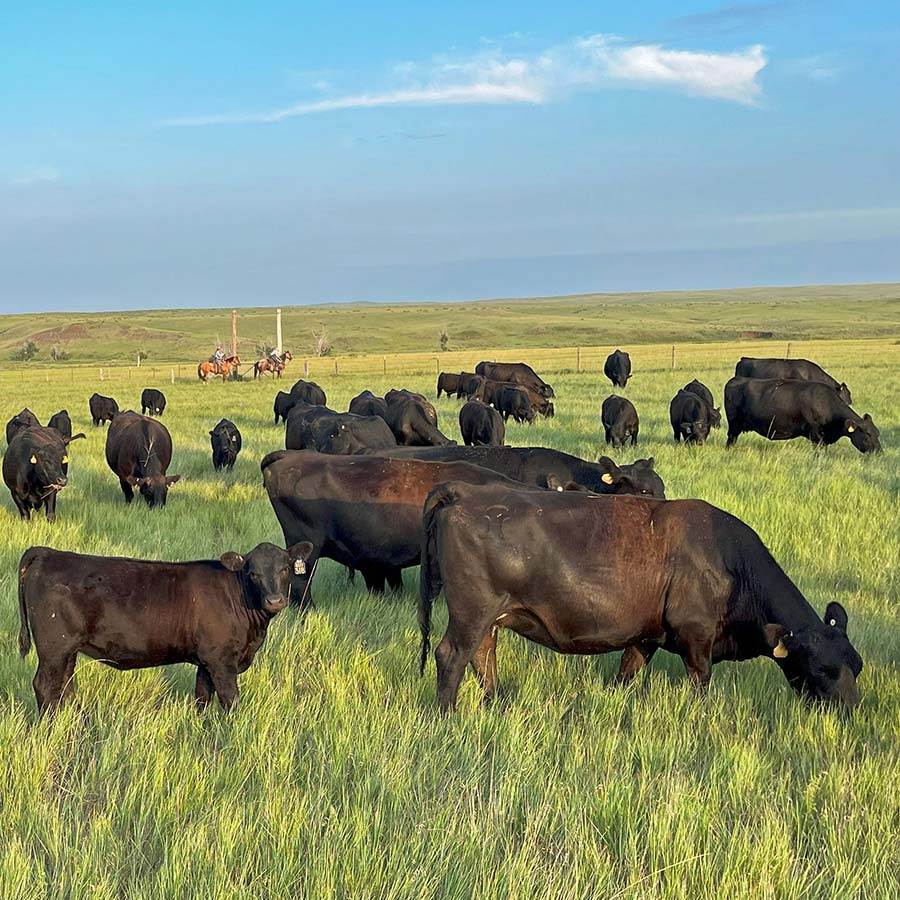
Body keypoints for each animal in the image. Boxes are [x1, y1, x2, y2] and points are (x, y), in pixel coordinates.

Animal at [17, 541, 312, 715]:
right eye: (253, 573)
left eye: (285, 569)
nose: (275, 600)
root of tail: (48, 553)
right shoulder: (222, 661)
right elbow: (231, 700)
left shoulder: (207, 661)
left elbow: (202, 698)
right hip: (54, 647)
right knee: (45, 685)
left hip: (68, 649)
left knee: (65, 684)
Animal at [418, 482, 863, 713]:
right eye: (821, 668)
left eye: (855, 666)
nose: (851, 711)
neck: (730, 564)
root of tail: (464, 492)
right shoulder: (696, 638)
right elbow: (700, 683)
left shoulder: (645, 637)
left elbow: (625, 676)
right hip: (472, 612)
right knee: (452, 656)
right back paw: (448, 714)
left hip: (488, 617)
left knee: (483, 655)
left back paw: (495, 702)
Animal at [724, 377, 881, 453]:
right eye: (867, 434)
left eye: (877, 433)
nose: (879, 451)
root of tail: (736, 379)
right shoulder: (816, 436)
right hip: (733, 426)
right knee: (730, 440)